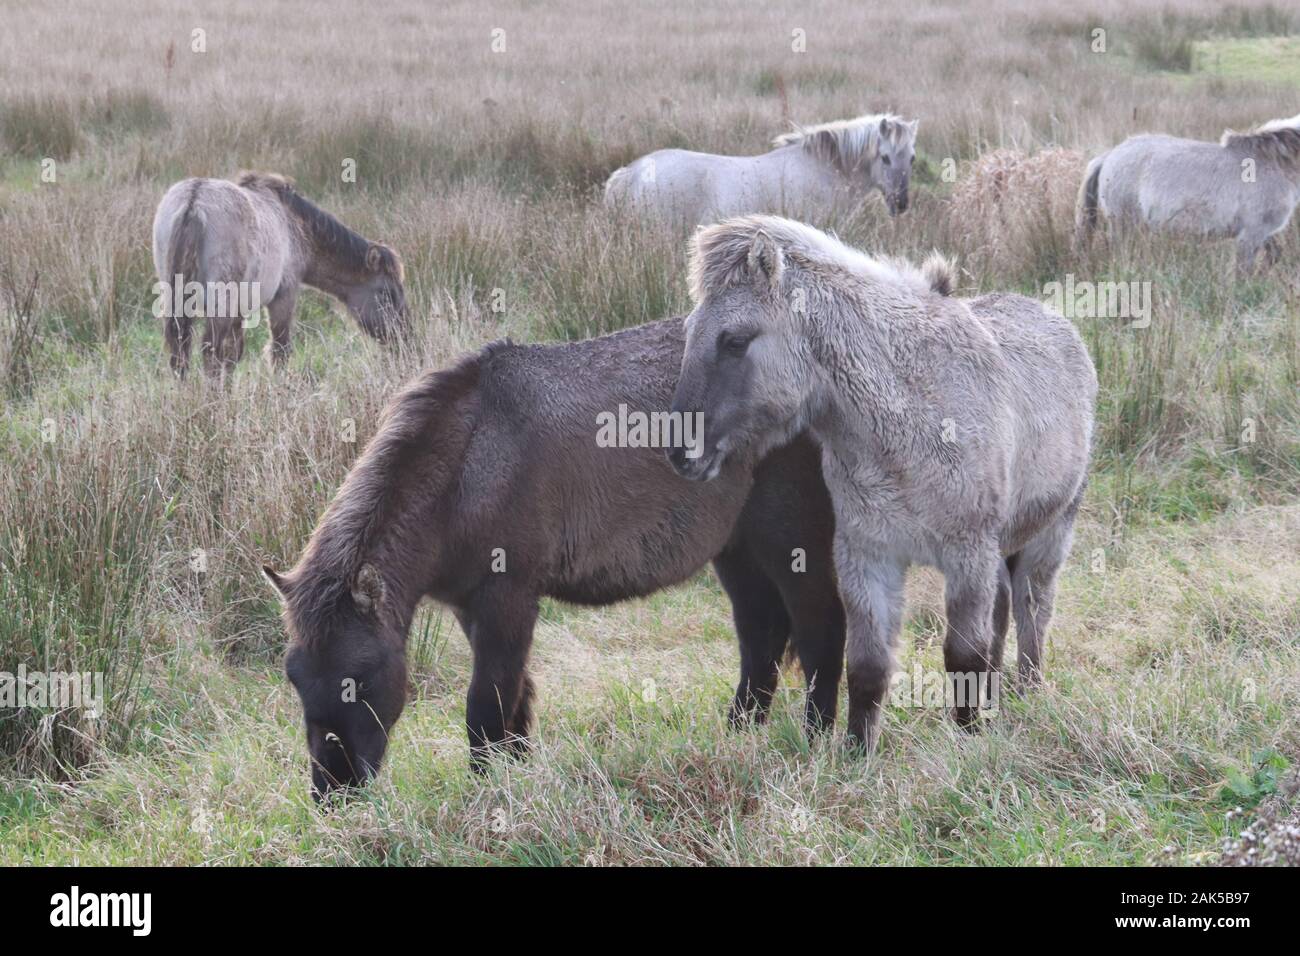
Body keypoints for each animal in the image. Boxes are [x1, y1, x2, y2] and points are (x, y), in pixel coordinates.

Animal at [151, 172, 408, 381]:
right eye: (386, 293)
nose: (405, 338)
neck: (293, 224)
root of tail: (194, 201)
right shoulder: (284, 297)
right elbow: (280, 351)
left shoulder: (239, 311)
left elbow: (233, 354)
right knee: (208, 352)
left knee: (180, 350)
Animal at [262, 317, 843, 800]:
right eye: (295, 678)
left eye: (358, 679)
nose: (332, 792)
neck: (468, 463)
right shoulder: (473, 606)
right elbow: (515, 697)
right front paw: (516, 773)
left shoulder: (508, 598)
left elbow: (487, 703)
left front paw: (487, 791)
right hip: (737, 549)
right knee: (761, 638)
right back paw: (738, 738)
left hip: (790, 541)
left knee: (818, 632)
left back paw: (816, 742)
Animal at [669, 215, 1097, 752]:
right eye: (690, 333)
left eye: (734, 341)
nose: (681, 454)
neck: (909, 420)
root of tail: (1054, 320)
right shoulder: (868, 555)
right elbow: (868, 669)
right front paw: (856, 754)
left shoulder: (967, 553)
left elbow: (963, 657)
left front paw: (969, 740)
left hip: (1050, 534)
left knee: (1032, 611)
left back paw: (1028, 693)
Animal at [1077, 113, 1300, 273]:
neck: (1274, 163)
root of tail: (1109, 156)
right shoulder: (1252, 234)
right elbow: (1242, 272)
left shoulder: (1264, 234)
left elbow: (1274, 256)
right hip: (1125, 226)